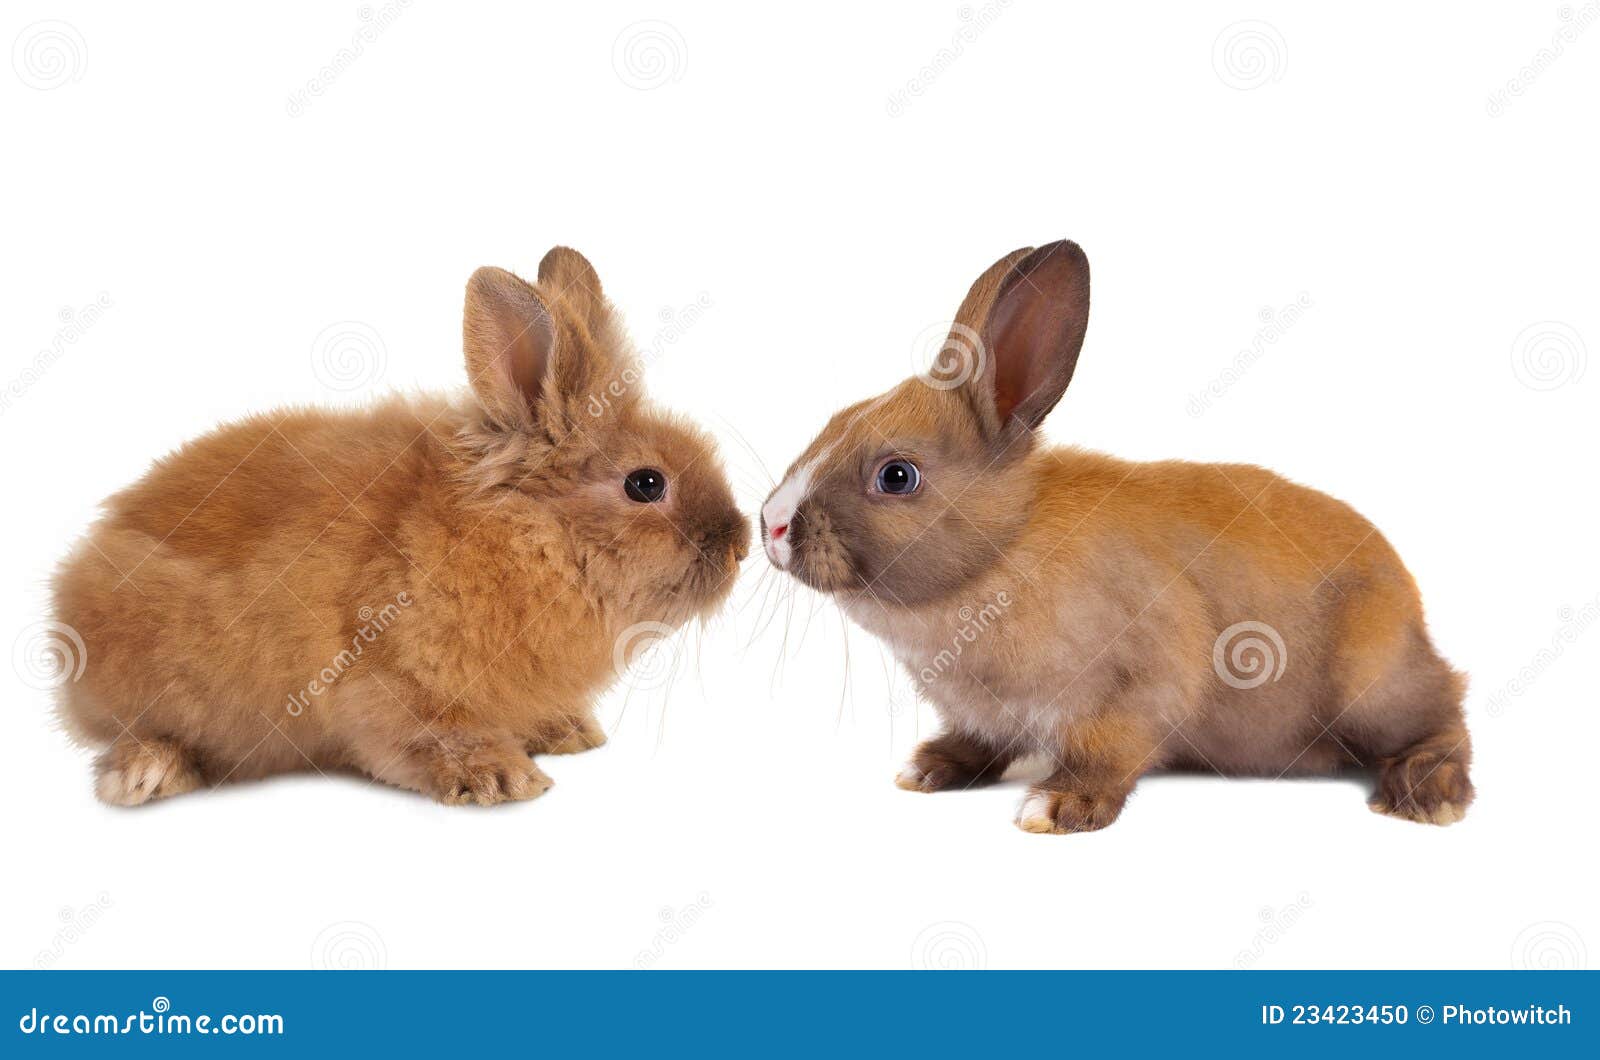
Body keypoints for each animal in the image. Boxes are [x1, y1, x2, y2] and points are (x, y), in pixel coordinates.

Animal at [52, 246, 750, 806]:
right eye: (646, 484)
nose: (740, 545)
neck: (529, 538)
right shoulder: (387, 681)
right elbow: (418, 737)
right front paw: (500, 779)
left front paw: (566, 732)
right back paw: (144, 774)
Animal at [758, 239, 1472, 834]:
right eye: (834, 423)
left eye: (897, 475)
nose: (772, 524)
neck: (1003, 552)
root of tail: (1413, 614)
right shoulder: (982, 715)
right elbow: (980, 741)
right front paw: (929, 769)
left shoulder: (1145, 683)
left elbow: (1110, 752)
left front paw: (1057, 807)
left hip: (1371, 682)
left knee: (1445, 711)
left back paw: (1426, 795)